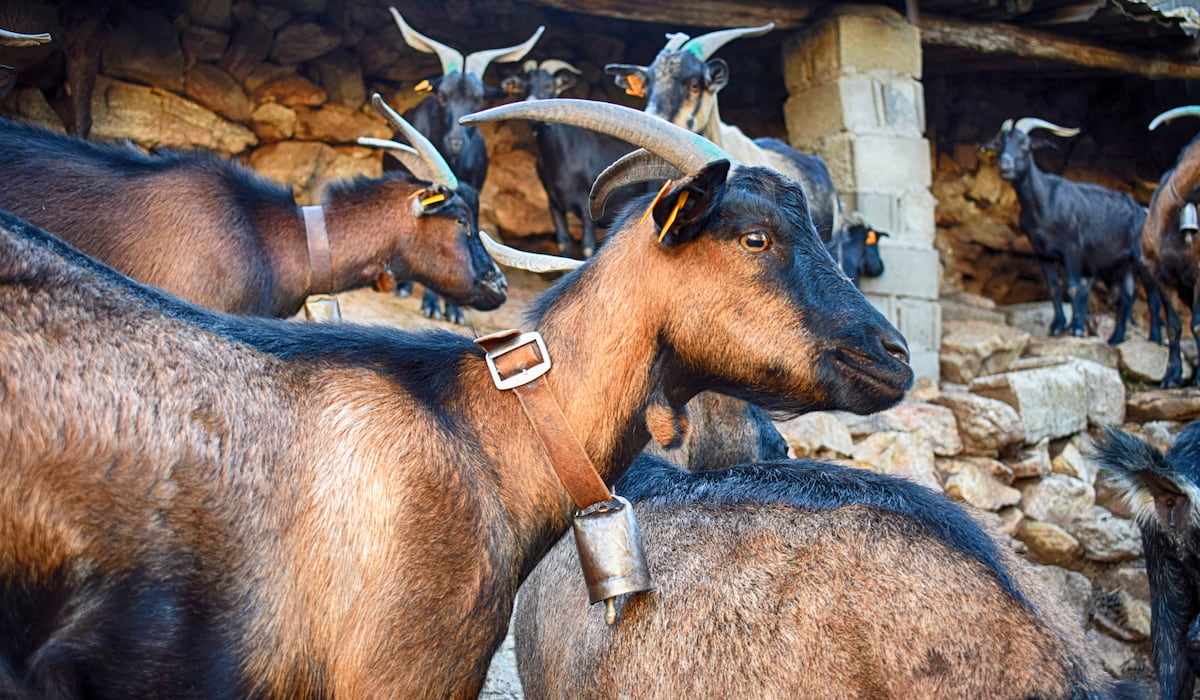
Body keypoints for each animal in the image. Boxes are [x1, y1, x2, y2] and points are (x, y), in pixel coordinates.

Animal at [982, 117, 1163, 345]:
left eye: (1025, 145)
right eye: (999, 146)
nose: (1005, 165)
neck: (1044, 204)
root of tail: (1143, 211)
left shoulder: (1072, 248)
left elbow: (1073, 287)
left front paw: (1076, 328)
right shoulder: (1042, 253)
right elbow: (1054, 288)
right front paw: (1057, 326)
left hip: (1141, 260)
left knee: (1153, 296)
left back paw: (1155, 337)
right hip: (1122, 265)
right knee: (1126, 297)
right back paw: (1116, 338)